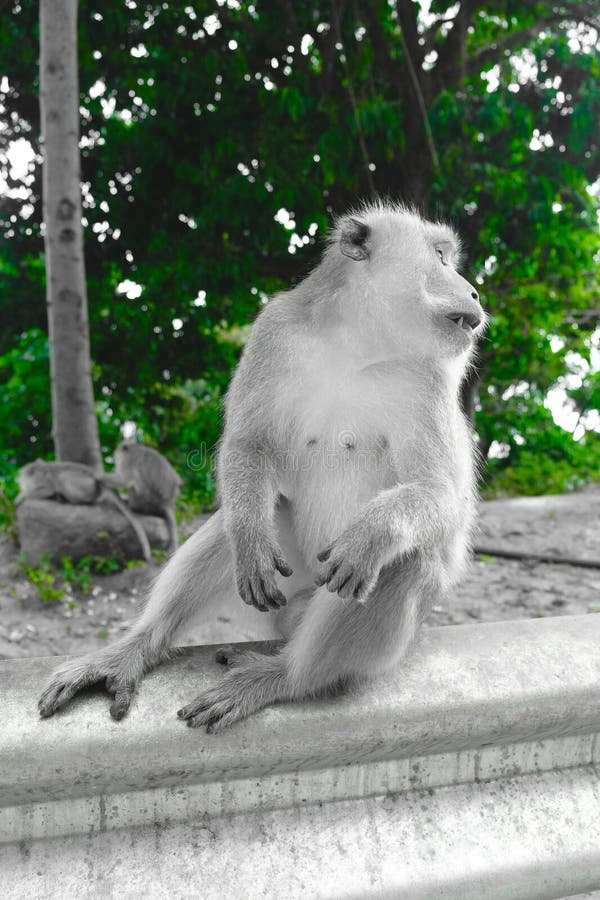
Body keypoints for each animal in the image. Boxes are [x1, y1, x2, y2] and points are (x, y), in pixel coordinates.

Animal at [17, 459, 152, 561]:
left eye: (31, 472)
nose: (19, 478)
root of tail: (97, 480)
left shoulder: (44, 480)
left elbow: (47, 489)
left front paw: (22, 496)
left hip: (86, 485)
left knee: (64, 477)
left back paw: (74, 500)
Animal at [38, 202, 486, 732]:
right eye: (440, 257)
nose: (474, 290)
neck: (360, 346)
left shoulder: (431, 379)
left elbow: (440, 494)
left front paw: (371, 533)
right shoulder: (274, 331)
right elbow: (247, 446)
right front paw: (250, 534)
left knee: (404, 561)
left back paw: (285, 676)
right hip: (288, 581)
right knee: (236, 527)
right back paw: (138, 646)